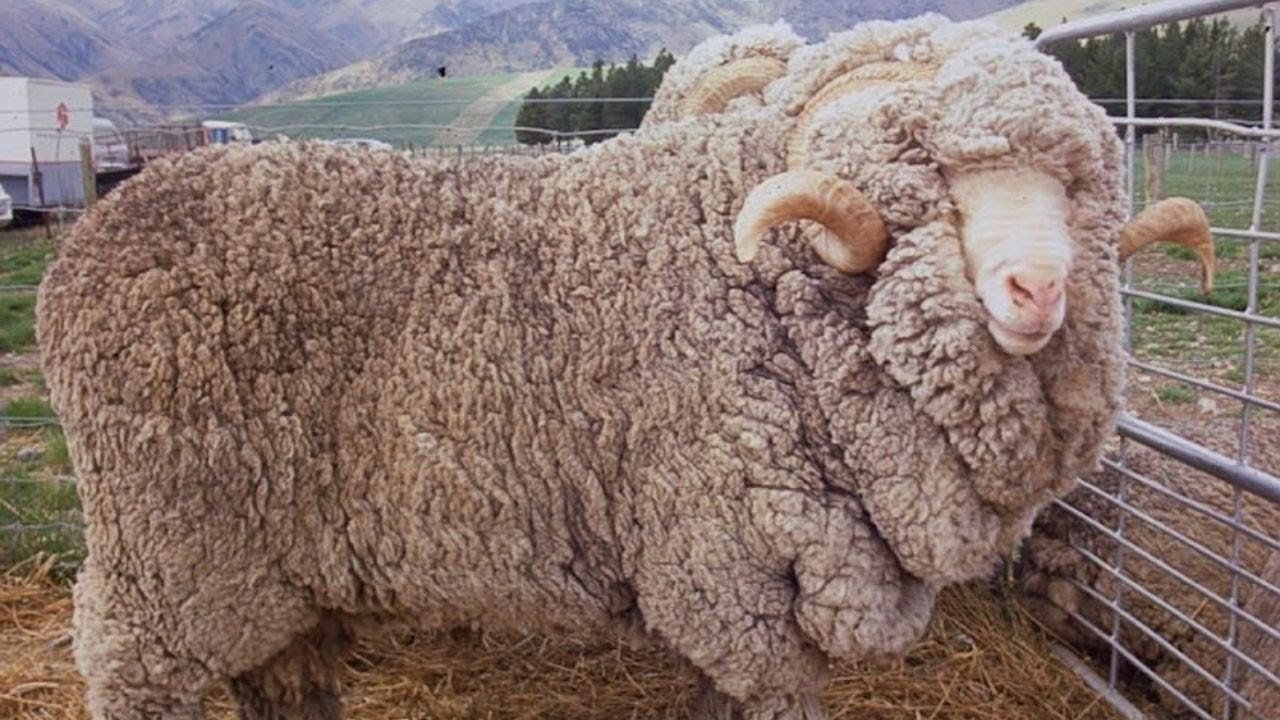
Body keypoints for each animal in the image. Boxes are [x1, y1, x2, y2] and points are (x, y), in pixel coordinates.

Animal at [37, 16, 1215, 720]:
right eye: (928, 179)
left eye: (1076, 185)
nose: (1036, 292)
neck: (755, 281)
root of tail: (93, 235)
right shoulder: (732, 578)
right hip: (168, 549)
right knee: (134, 671)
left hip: (274, 562)